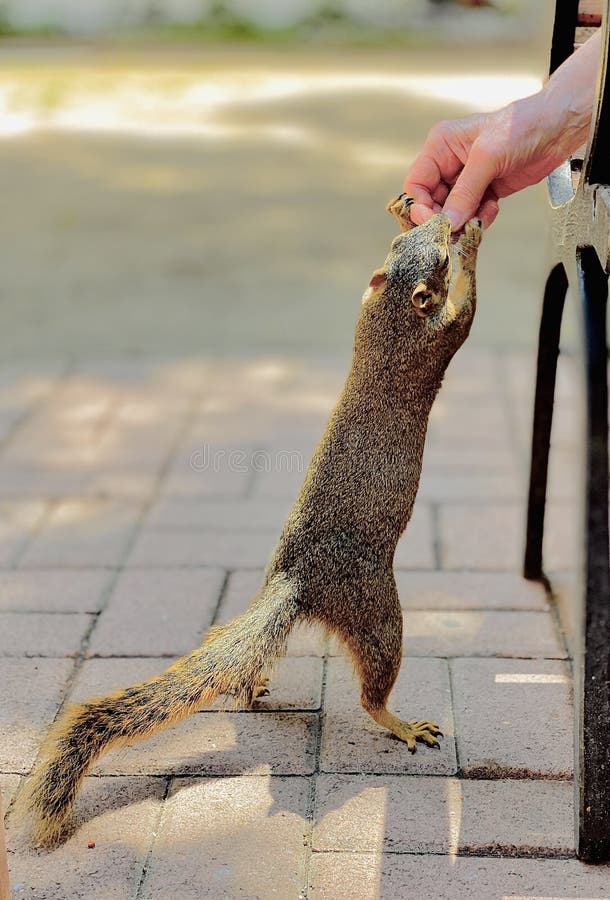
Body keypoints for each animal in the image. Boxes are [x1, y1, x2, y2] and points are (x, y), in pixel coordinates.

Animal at [17, 195, 482, 847]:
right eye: (435, 256)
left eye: (407, 244)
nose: (446, 221)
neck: (390, 318)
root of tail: (297, 580)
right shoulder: (438, 338)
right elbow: (466, 312)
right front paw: (476, 241)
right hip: (376, 611)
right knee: (373, 688)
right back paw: (401, 723)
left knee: (234, 647)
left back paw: (247, 678)